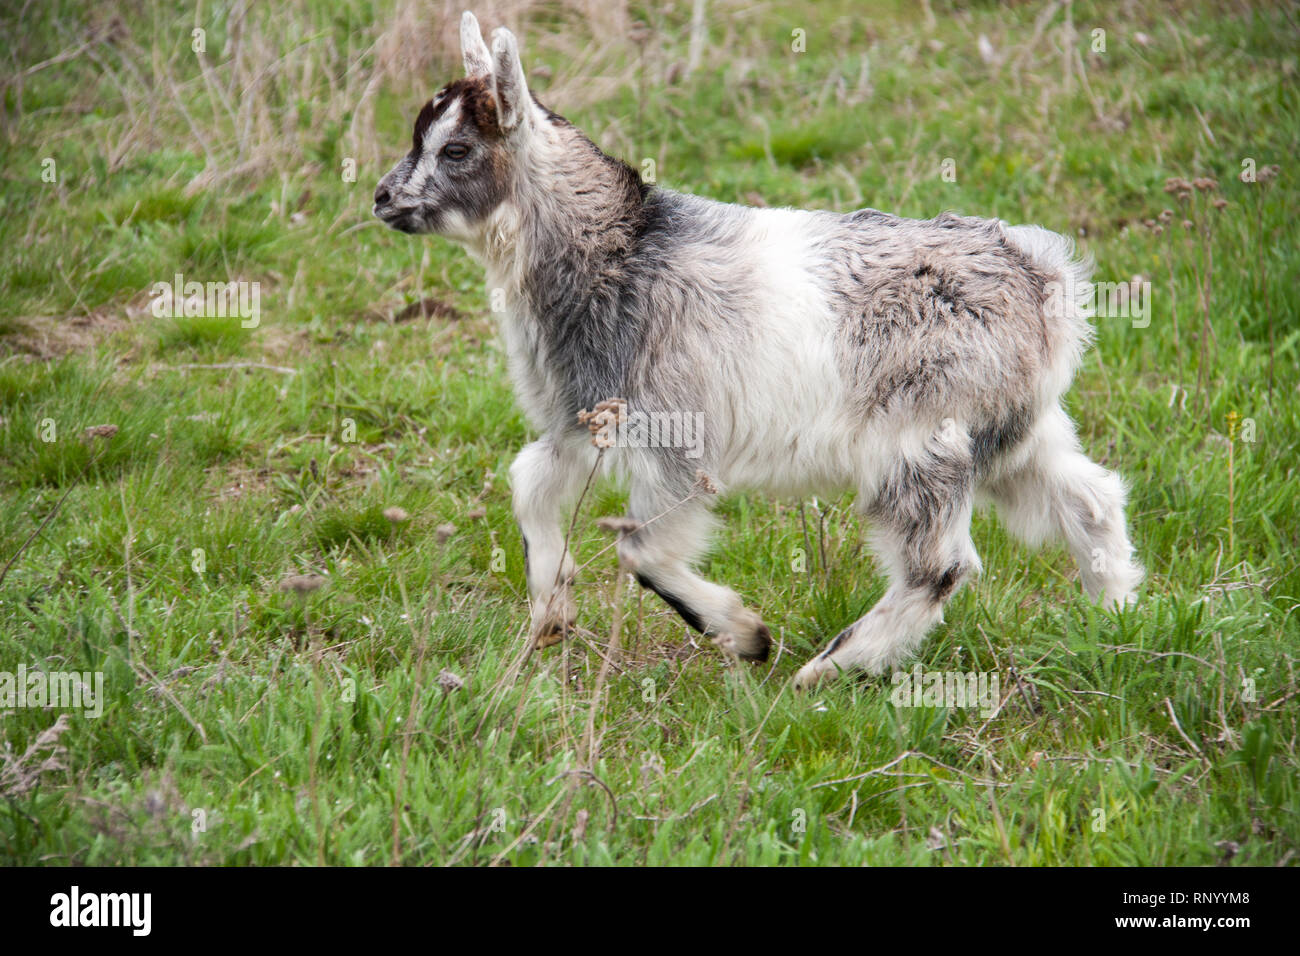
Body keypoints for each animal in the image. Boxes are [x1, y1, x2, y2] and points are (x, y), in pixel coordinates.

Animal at [373, 12, 1144, 688]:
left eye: (456, 150)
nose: (382, 198)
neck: (619, 248)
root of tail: (1041, 275)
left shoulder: (673, 436)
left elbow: (641, 549)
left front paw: (745, 635)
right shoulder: (581, 417)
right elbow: (529, 481)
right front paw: (552, 610)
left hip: (923, 440)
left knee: (941, 566)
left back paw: (829, 668)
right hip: (1013, 430)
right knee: (1092, 499)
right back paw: (1116, 617)